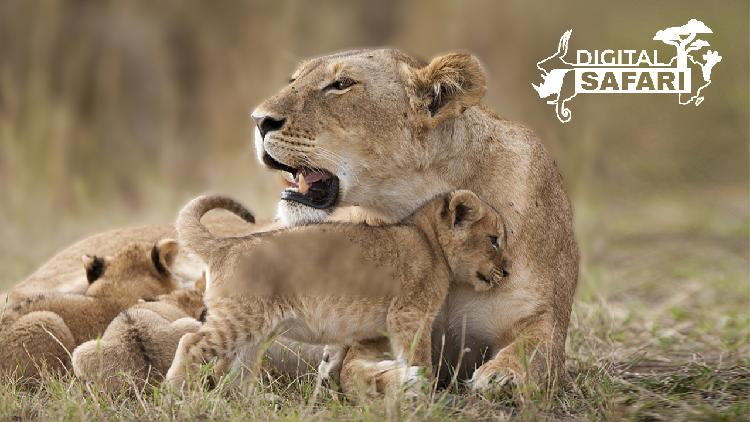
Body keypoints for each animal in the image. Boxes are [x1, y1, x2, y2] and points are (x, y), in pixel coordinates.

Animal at [164, 191, 510, 392]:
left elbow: (343, 358)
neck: (429, 240)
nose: (507, 271)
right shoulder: (408, 316)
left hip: (255, 336)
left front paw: (330, 377)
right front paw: (421, 391)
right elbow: (419, 359)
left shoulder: (377, 329)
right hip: (240, 320)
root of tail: (225, 245)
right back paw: (175, 391)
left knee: (236, 374)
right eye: (494, 240)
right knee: (190, 342)